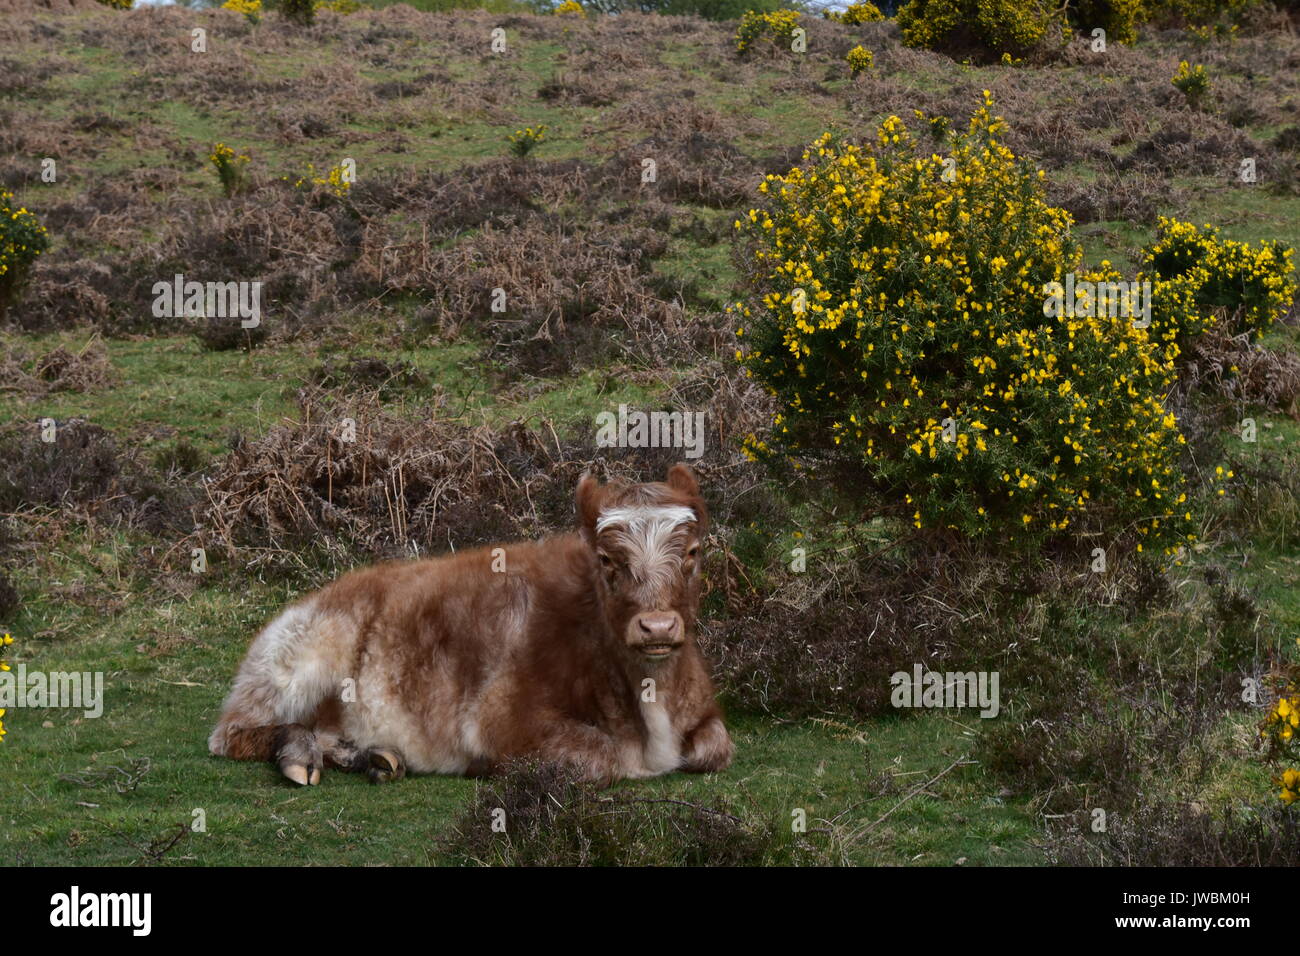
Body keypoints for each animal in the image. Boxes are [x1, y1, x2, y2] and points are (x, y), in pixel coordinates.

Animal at [208, 463, 733, 787]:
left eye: (693, 552)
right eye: (606, 560)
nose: (658, 627)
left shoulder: (704, 714)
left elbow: (716, 748)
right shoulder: (502, 719)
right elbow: (603, 756)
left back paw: (371, 756)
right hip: (299, 657)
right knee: (233, 733)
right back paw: (298, 754)